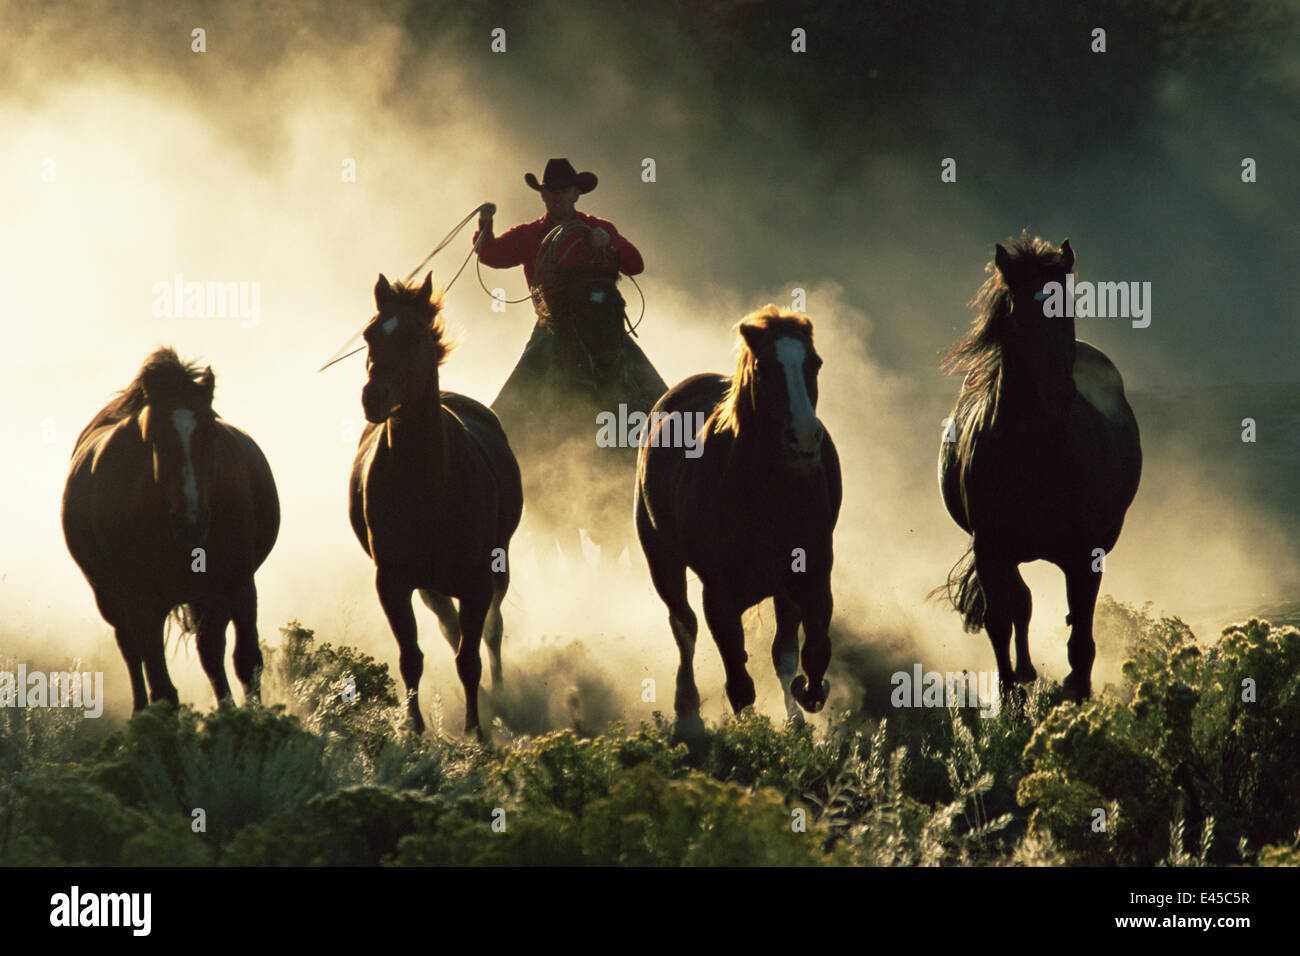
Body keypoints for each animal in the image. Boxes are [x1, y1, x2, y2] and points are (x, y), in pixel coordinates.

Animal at [62, 348, 280, 711]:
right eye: (154, 437)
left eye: (210, 431)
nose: (191, 522)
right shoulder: (142, 603)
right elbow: (162, 688)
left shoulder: (238, 585)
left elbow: (247, 662)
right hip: (111, 599)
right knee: (132, 653)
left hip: (210, 598)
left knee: (210, 652)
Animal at [350, 272, 523, 737]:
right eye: (370, 334)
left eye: (416, 336)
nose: (373, 398)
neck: (426, 488)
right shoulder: (392, 582)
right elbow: (412, 657)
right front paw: (413, 729)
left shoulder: (479, 580)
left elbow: (470, 657)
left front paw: (477, 732)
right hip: (430, 586)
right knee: (449, 627)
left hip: (496, 571)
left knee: (492, 632)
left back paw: (501, 696)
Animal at [636, 306, 842, 735]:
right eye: (764, 369)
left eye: (814, 363)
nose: (803, 438)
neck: (768, 496)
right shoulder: (718, 595)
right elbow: (739, 682)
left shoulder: (812, 576)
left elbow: (811, 652)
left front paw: (805, 699)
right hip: (662, 562)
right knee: (684, 628)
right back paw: (687, 711)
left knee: (782, 652)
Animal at [937, 233, 1142, 701]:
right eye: (1018, 309)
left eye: (1066, 306)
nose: (1060, 394)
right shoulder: (990, 548)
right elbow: (1001, 621)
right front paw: (1011, 699)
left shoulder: (1085, 555)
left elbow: (1081, 640)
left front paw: (1077, 696)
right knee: (1021, 604)